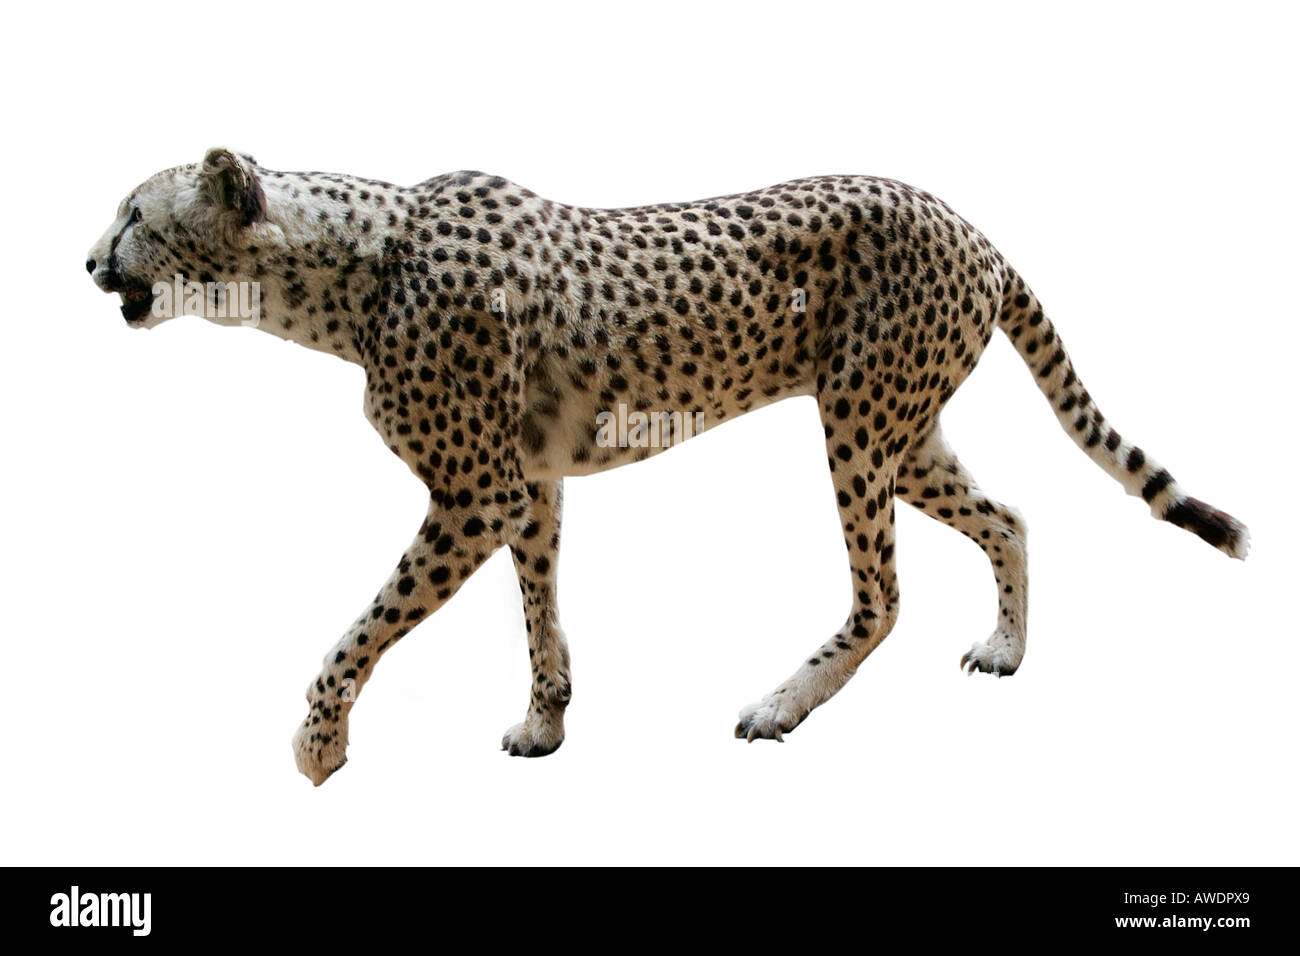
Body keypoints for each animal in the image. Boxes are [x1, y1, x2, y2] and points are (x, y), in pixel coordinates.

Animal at [87, 148, 1249, 785]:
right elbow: (540, 610)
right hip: (904, 432)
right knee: (1007, 515)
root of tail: (972, 227)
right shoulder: (530, 483)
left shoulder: (474, 494)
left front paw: (318, 741)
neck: (346, 269)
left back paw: (781, 705)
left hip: (857, 425)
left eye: (136, 213)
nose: (90, 259)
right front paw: (547, 721)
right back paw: (1006, 648)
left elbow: (361, 627)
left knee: (881, 594)